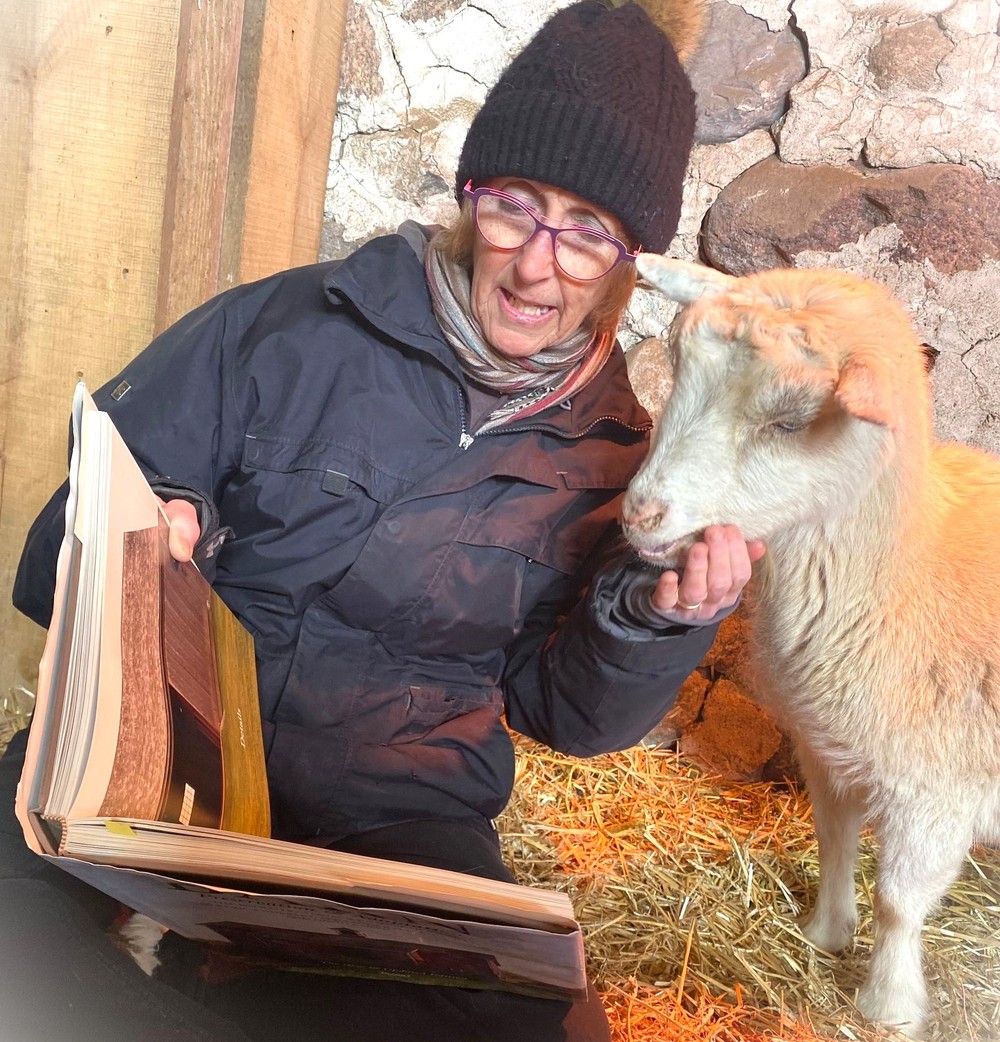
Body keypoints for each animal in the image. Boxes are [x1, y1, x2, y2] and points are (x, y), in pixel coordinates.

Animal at [622, 255, 1000, 1037]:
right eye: (676, 365)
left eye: (790, 422)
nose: (639, 515)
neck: (901, 578)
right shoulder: (828, 752)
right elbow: (834, 841)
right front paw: (825, 934)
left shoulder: (937, 788)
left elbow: (900, 902)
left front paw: (889, 1006)